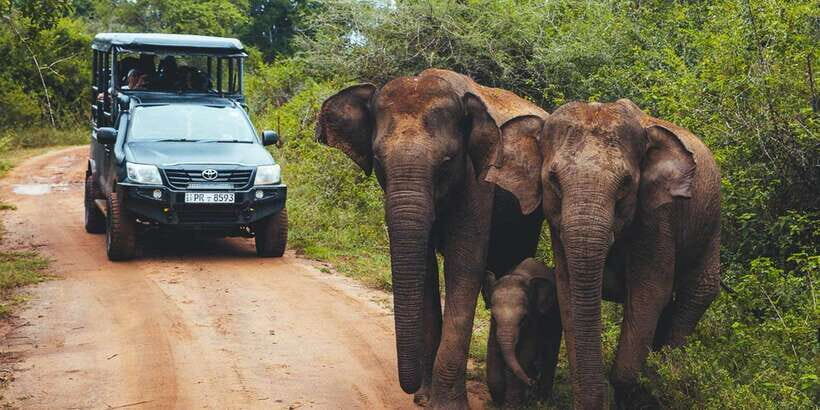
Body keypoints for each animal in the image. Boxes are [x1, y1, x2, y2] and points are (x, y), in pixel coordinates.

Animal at [316, 68, 548, 408]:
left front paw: (444, 404)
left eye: (447, 161)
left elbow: (463, 268)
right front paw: (425, 398)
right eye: (378, 161)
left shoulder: (477, 181)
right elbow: (424, 272)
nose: (411, 391)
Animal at [484, 258, 562, 407]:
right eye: (494, 317)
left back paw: (542, 400)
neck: (519, 275)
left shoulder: (534, 317)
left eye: (523, 319)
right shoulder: (494, 326)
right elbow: (492, 351)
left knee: (550, 350)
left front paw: (512, 404)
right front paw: (499, 403)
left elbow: (526, 353)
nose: (531, 382)